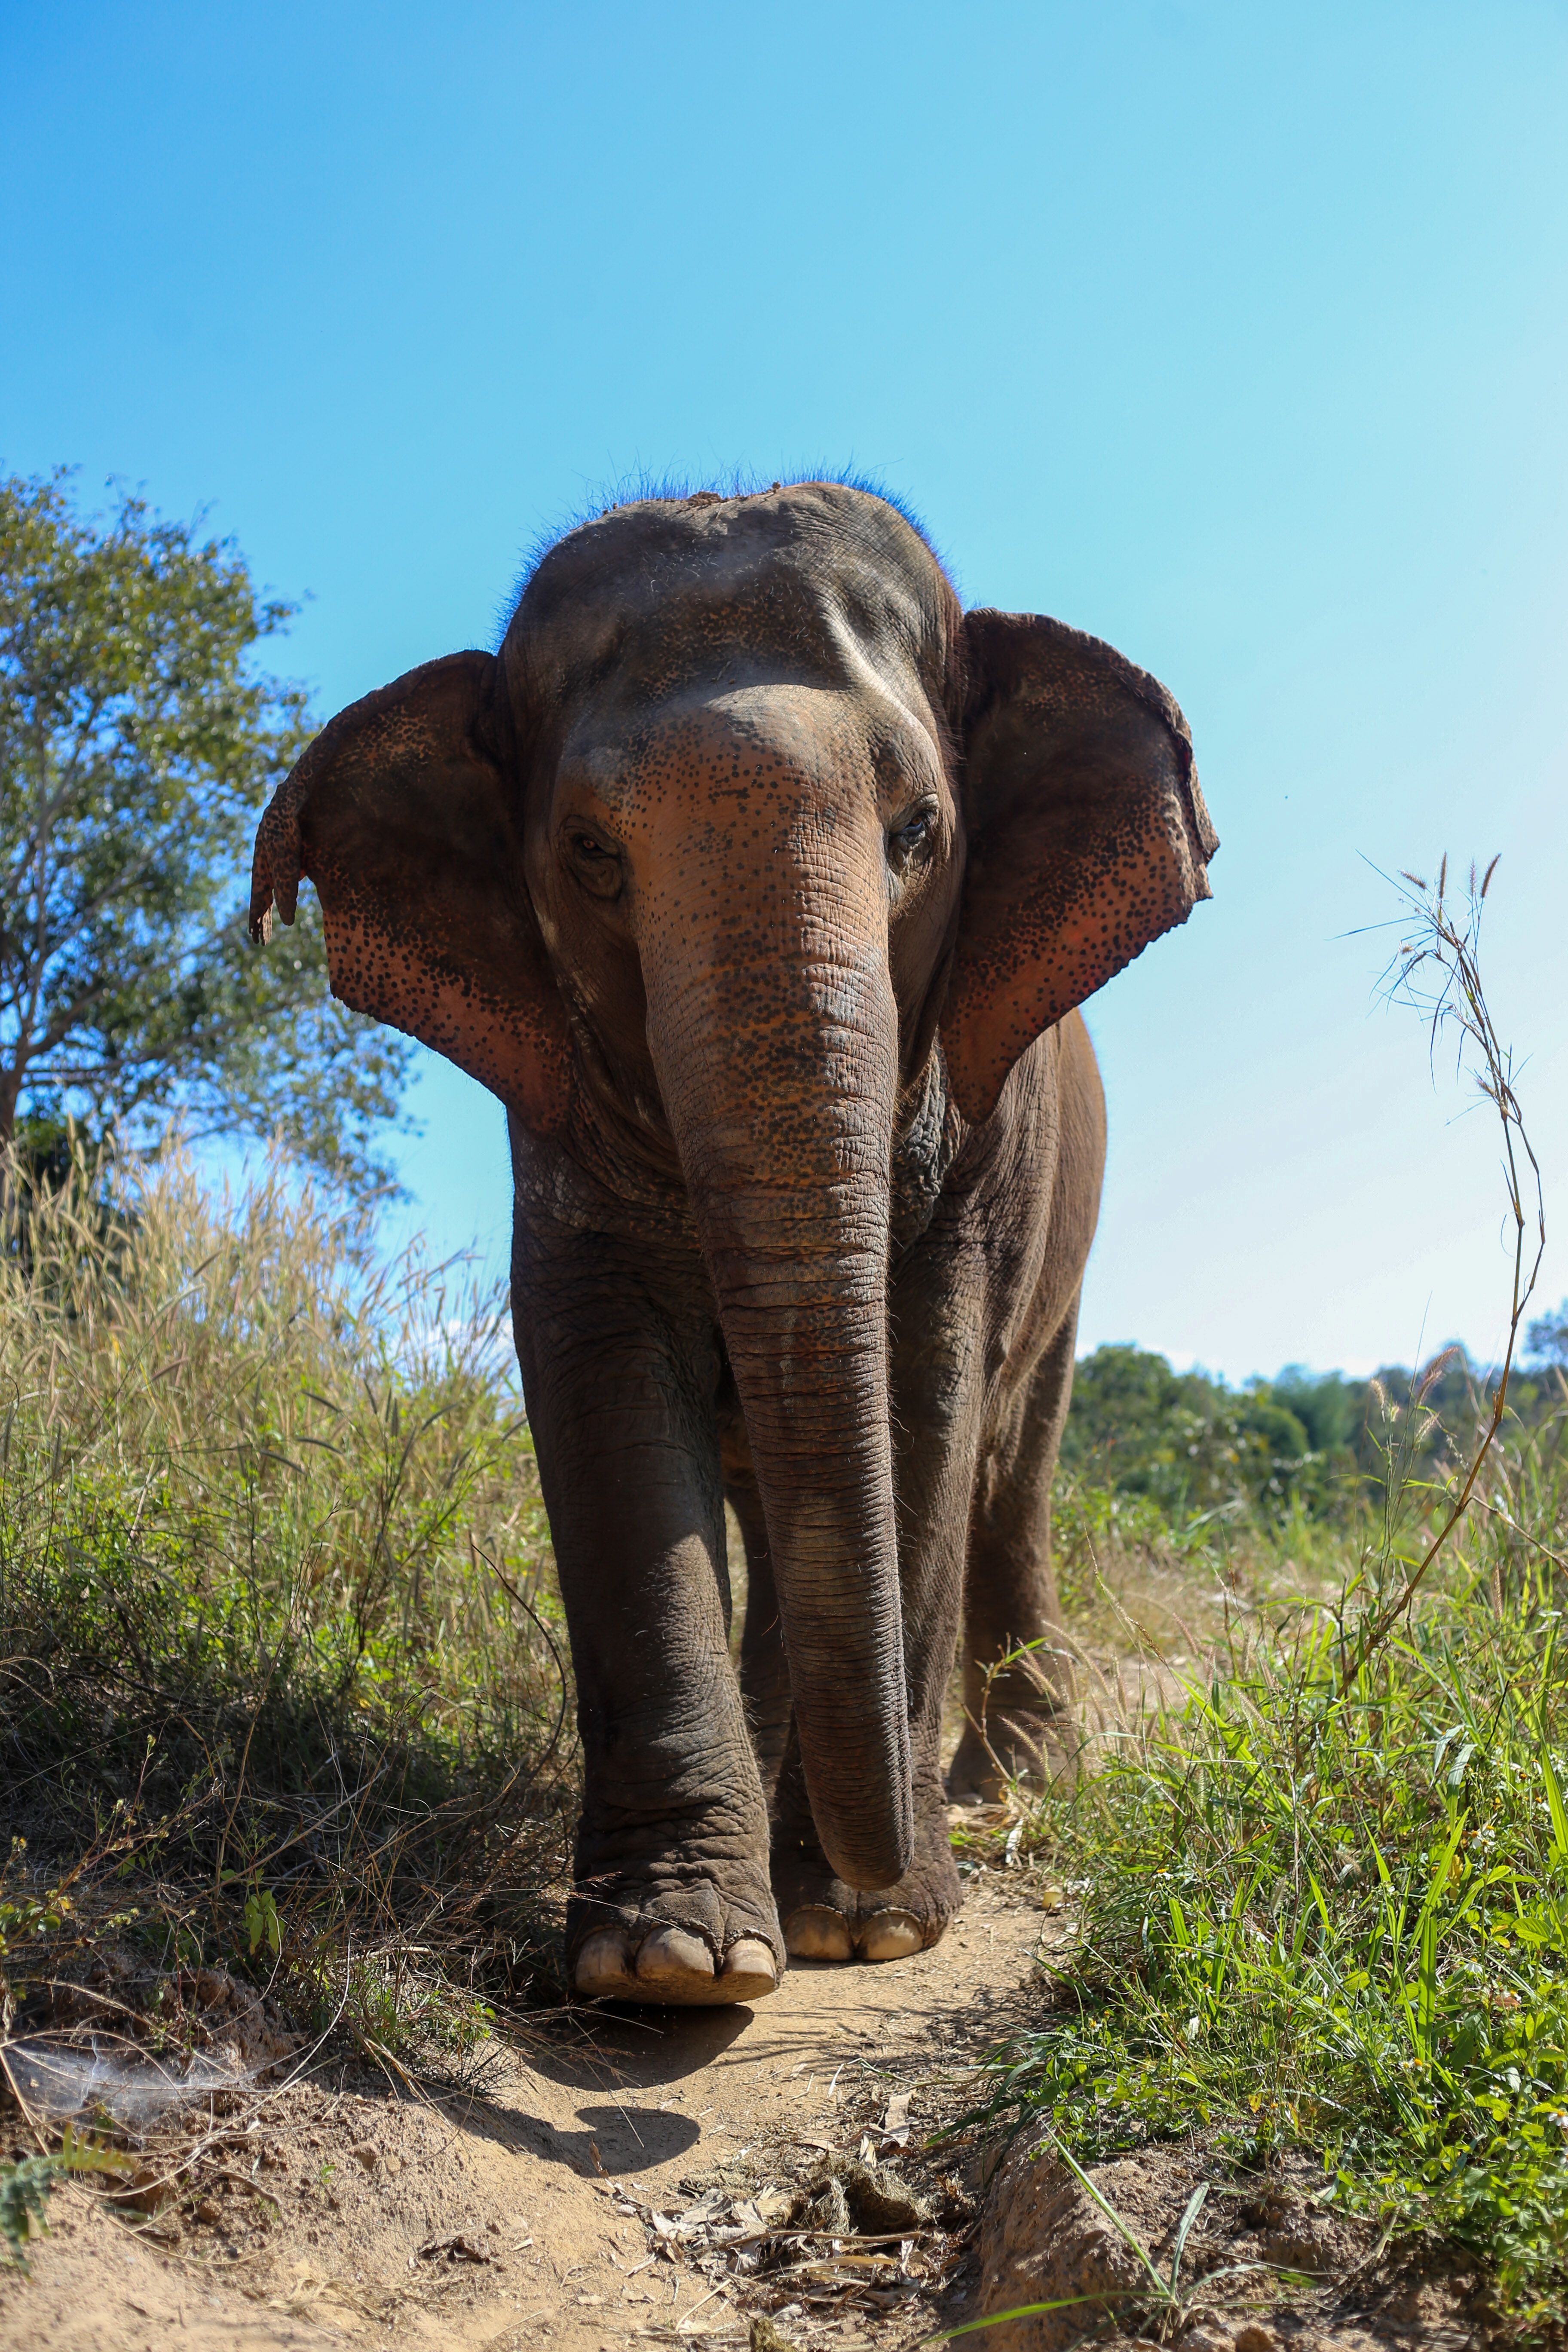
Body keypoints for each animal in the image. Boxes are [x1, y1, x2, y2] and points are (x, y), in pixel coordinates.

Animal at [249, 480, 1216, 2008]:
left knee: (1012, 1460)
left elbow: (923, 1395)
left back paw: (1010, 1781)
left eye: (918, 832)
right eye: (589, 856)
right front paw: (670, 1962)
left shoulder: (985, 1144)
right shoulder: (560, 1120)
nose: (887, 1878)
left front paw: (864, 1926)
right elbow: (606, 1382)